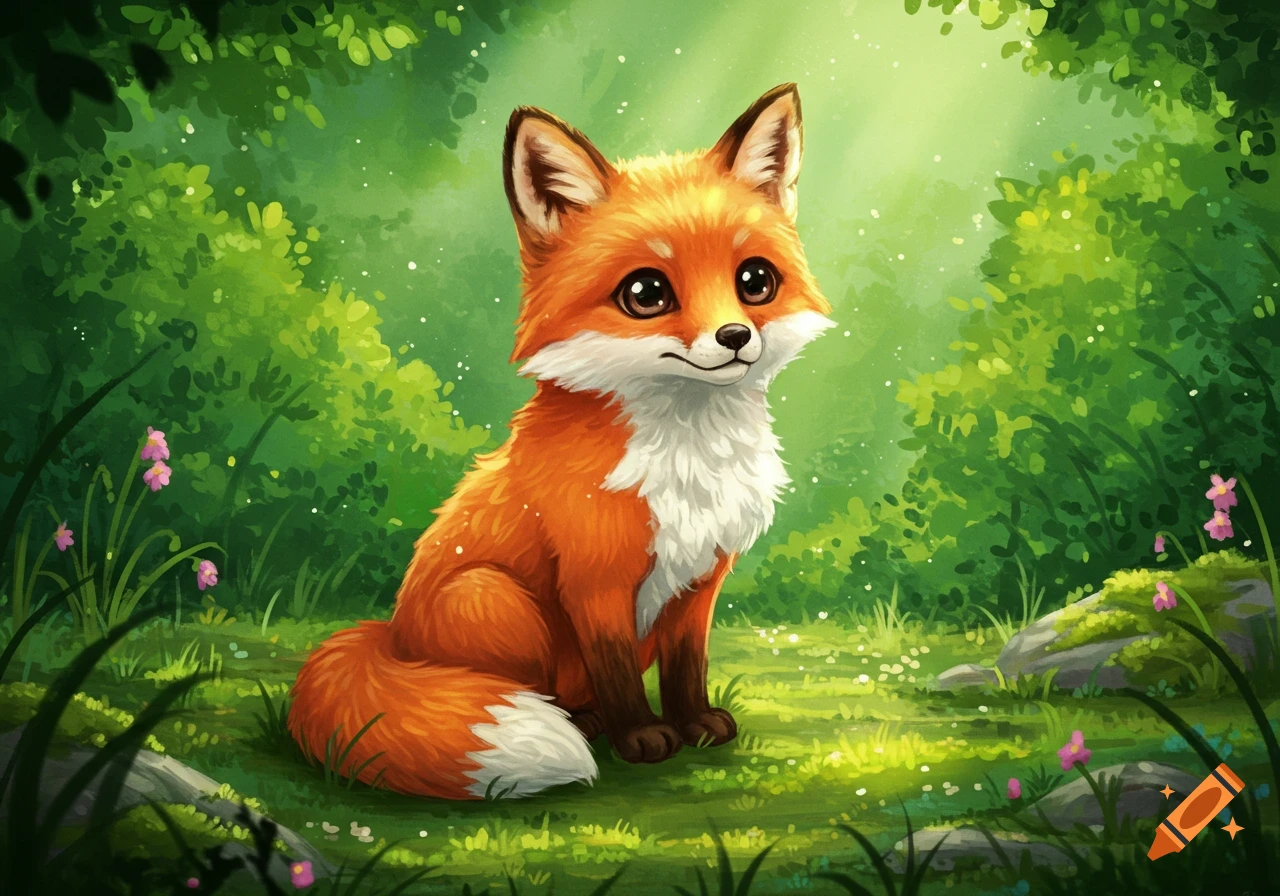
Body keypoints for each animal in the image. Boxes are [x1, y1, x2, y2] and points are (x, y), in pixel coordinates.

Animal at [288, 83, 832, 800]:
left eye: (755, 281)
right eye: (646, 293)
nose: (737, 337)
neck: (686, 458)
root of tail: (392, 640)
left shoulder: (699, 580)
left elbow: (687, 667)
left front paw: (695, 723)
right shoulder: (594, 579)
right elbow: (617, 670)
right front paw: (641, 738)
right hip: (493, 599)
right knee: (535, 687)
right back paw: (583, 721)